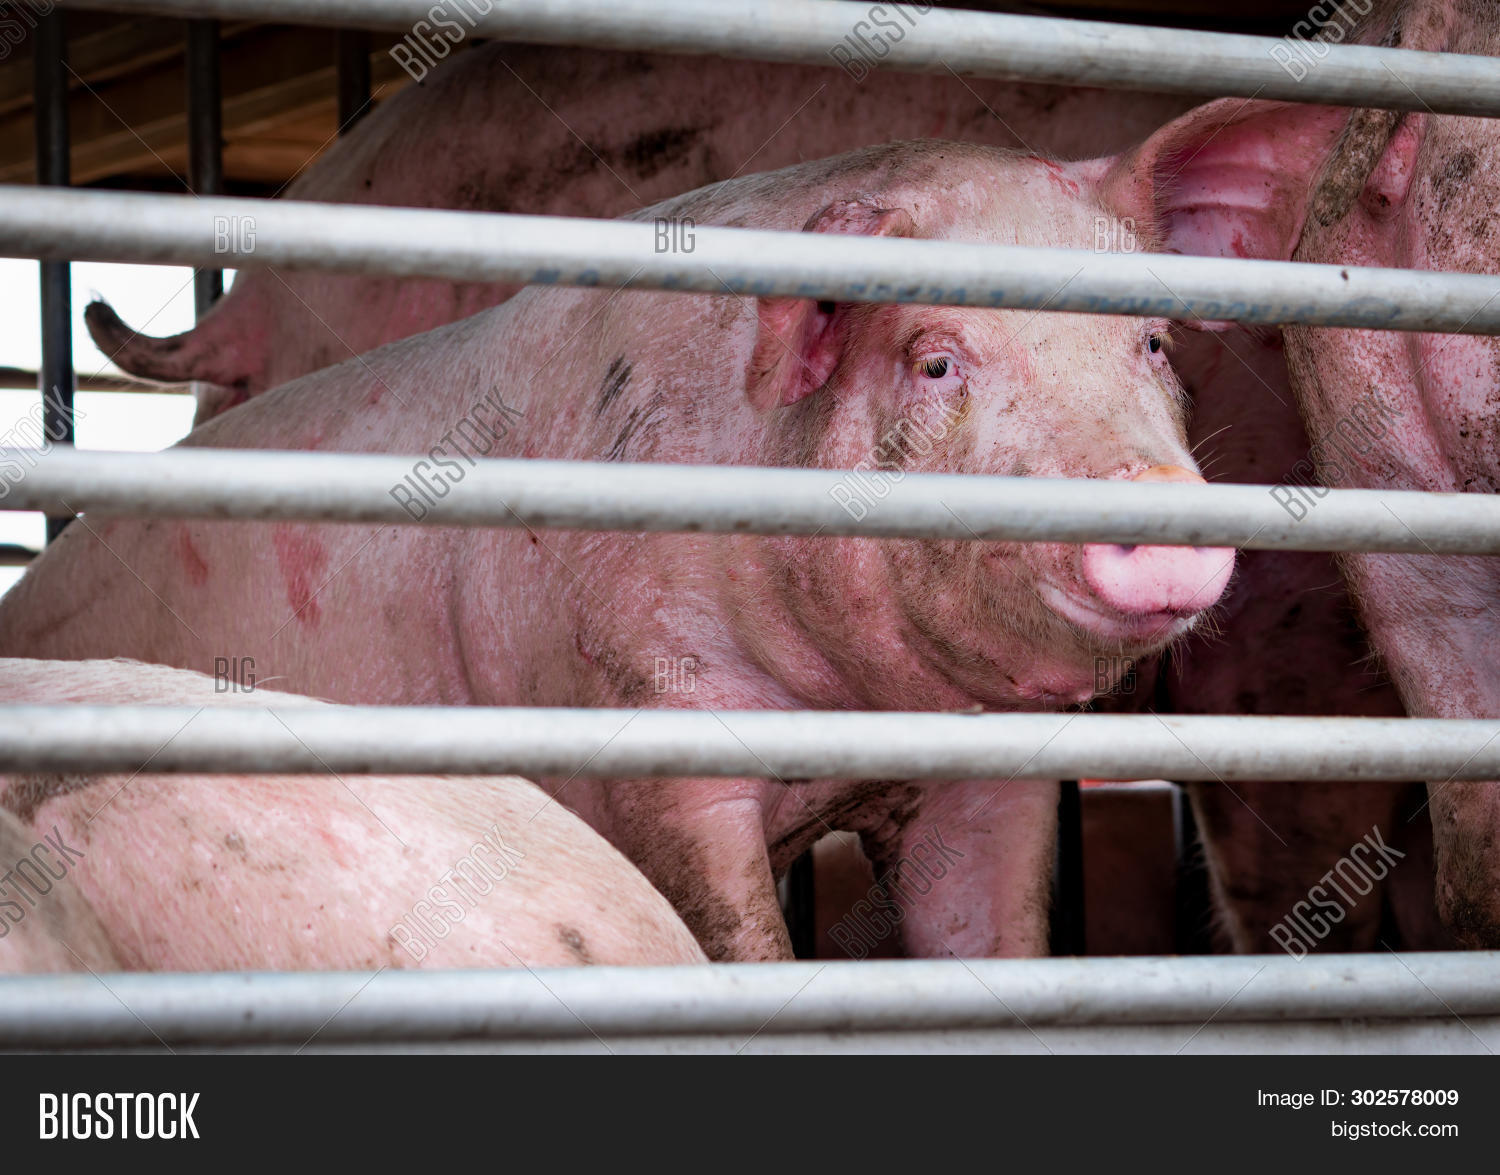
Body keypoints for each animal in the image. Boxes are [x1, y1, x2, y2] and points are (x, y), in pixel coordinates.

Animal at [80, 38, 1438, 954]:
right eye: (935, 359)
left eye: (1151, 342)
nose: (1163, 518)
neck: (846, 716)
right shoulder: (649, 731)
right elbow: (737, 938)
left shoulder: (998, 769)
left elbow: (991, 936)